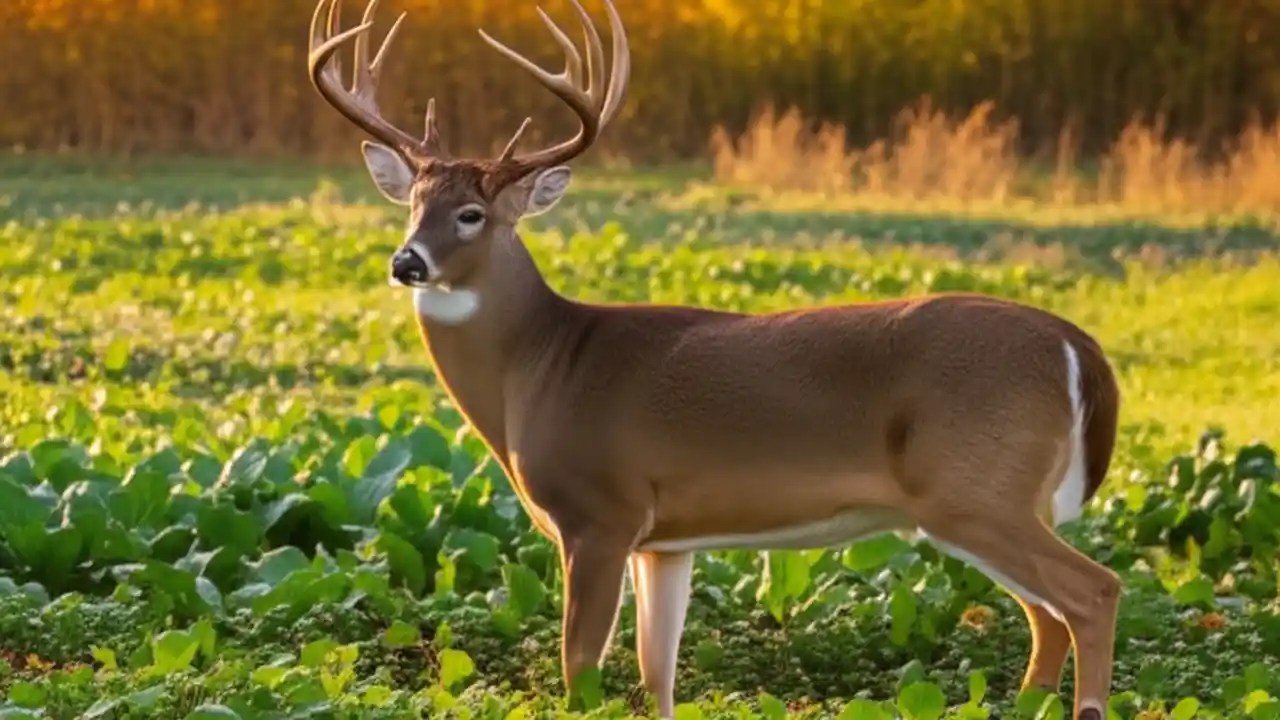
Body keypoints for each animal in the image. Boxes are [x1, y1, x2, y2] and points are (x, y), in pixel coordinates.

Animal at [306, 0, 1123, 717]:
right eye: (413, 205)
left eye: (472, 214)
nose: (406, 261)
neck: (538, 369)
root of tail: (1078, 346)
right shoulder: (665, 542)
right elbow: (657, 677)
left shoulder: (600, 511)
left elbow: (580, 670)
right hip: (985, 501)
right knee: (1047, 617)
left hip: (975, 489)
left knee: (1093, 592)